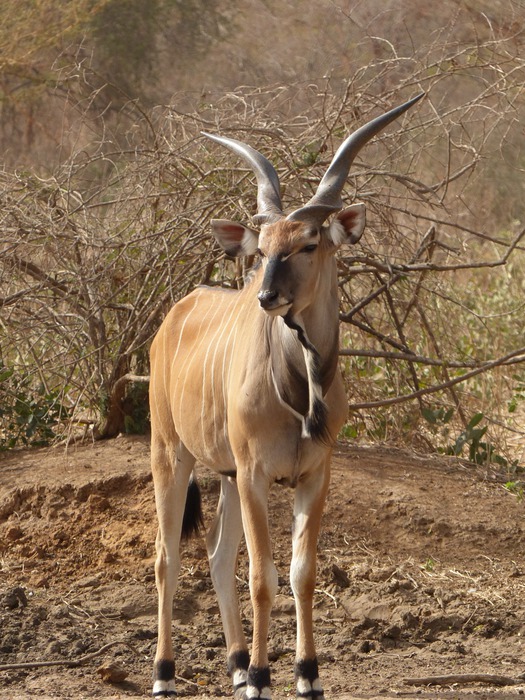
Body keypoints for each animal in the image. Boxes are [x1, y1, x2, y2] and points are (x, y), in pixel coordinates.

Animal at [149, 93, 423, 699]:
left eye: (309, 242)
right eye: (263, 249)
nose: (268, 295)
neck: (301, 390)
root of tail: (171, 319)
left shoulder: (313, 473)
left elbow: (302, 573)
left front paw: (306, 675)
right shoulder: (256, 474)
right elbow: (263, 576)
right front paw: (263, 676)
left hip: (225, 475)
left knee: (216, 554)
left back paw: (232, 665)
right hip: (171, 454)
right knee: (168, 558)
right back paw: (165, 674)